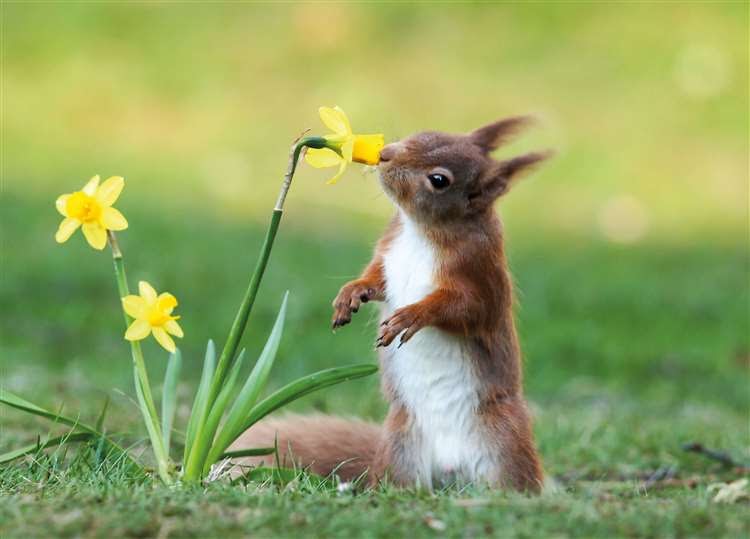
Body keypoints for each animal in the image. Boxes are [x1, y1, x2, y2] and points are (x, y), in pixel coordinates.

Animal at [230, 116, 551, 492]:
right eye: (419, 135)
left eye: (439, 180)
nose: (385, 154)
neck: (420, 230)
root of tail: (451, 474)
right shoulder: (388, 251)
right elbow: (377, 282)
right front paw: (350, 294)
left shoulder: (480, 272)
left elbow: (467, 309)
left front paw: (411, 316)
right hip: (401, 448)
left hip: (505, 444)